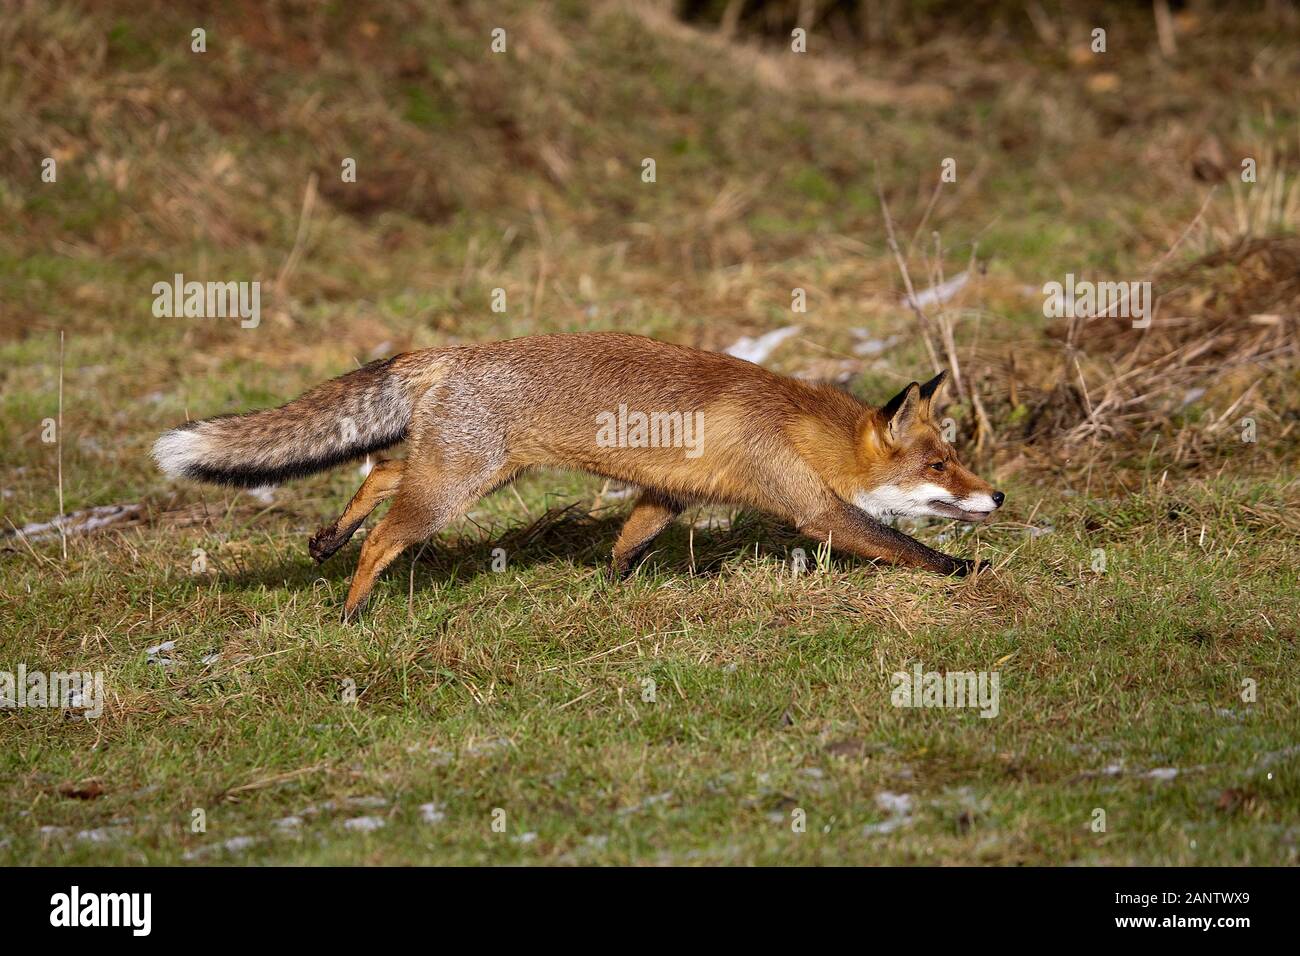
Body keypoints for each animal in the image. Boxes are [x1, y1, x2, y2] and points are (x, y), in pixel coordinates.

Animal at [153, 332, 1004, 619]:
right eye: (939, 464)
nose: (996, 494)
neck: (794, 423)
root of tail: (448, 350)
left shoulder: (670, 494)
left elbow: (629, 544)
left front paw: (610, 590)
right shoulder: (810, 508)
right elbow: (896, 542)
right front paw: (965, 570)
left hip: (471, 473)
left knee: (382, 469)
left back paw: (328, 537)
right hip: (456, 489)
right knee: (386, 535)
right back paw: (351, 611)